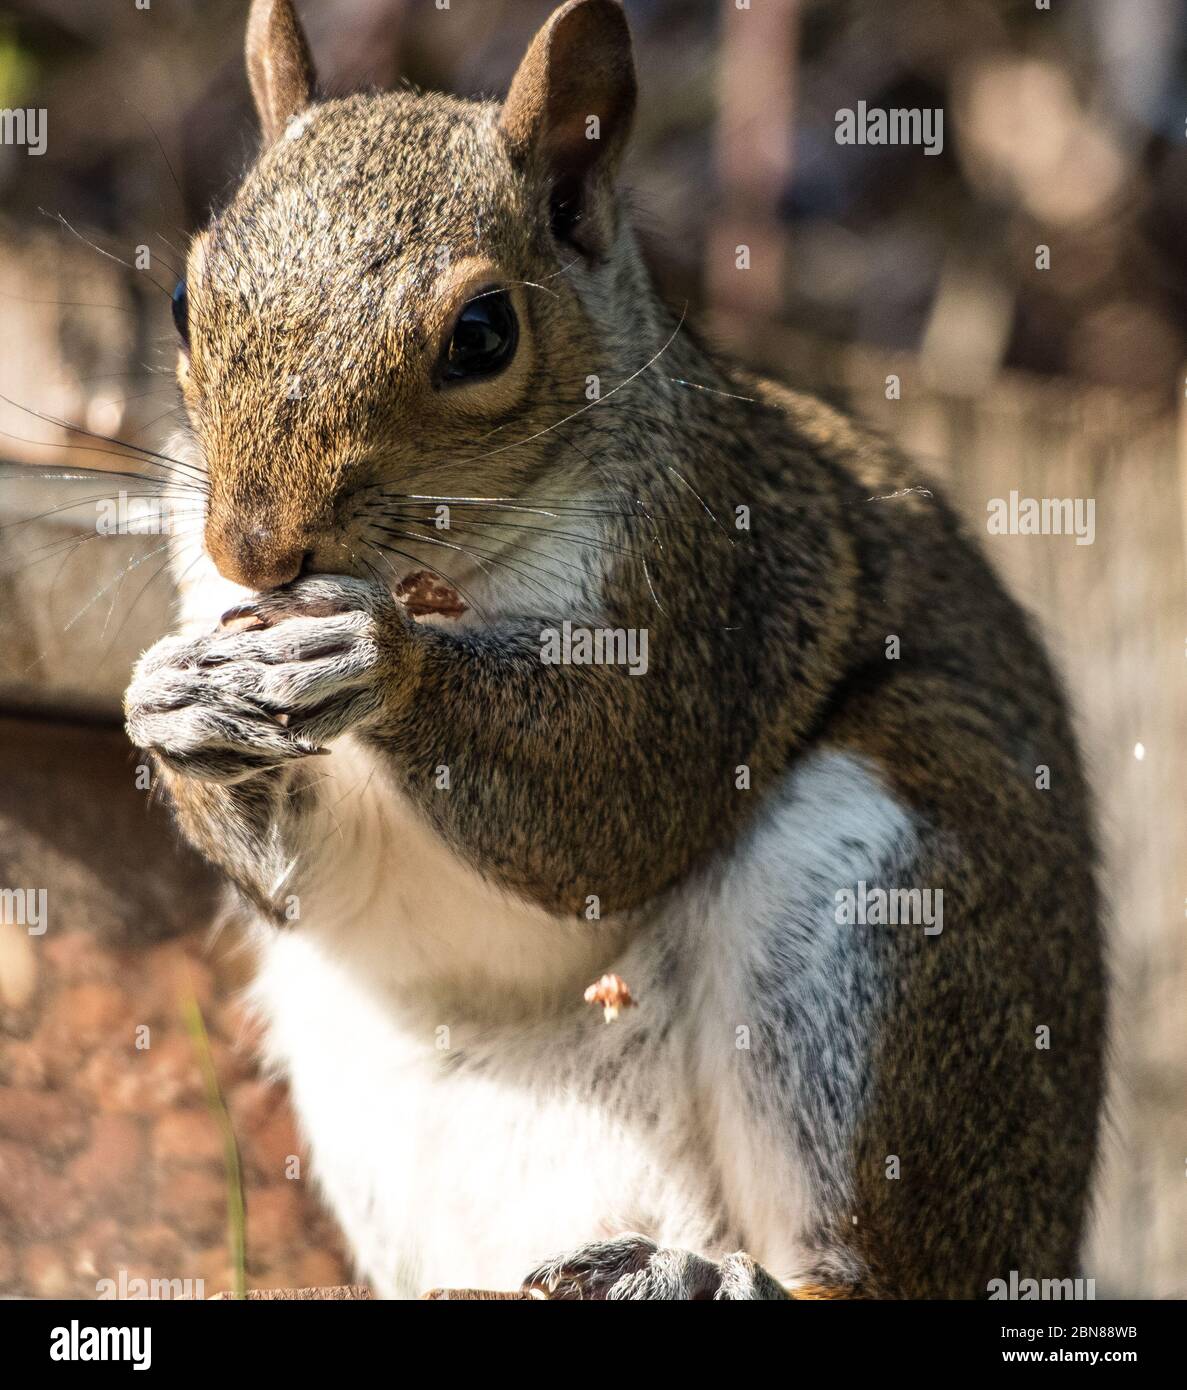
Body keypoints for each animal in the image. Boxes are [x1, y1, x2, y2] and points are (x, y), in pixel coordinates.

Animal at [124, 0, 1104, 1299]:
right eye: (186, 299)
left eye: (482, 333)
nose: (251, 548)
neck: (451, 571)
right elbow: (328, 884)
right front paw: (171, 707)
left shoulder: (714, 579)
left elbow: (612, 805)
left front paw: (380, 661)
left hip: (885, 910)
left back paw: (708, 1272)